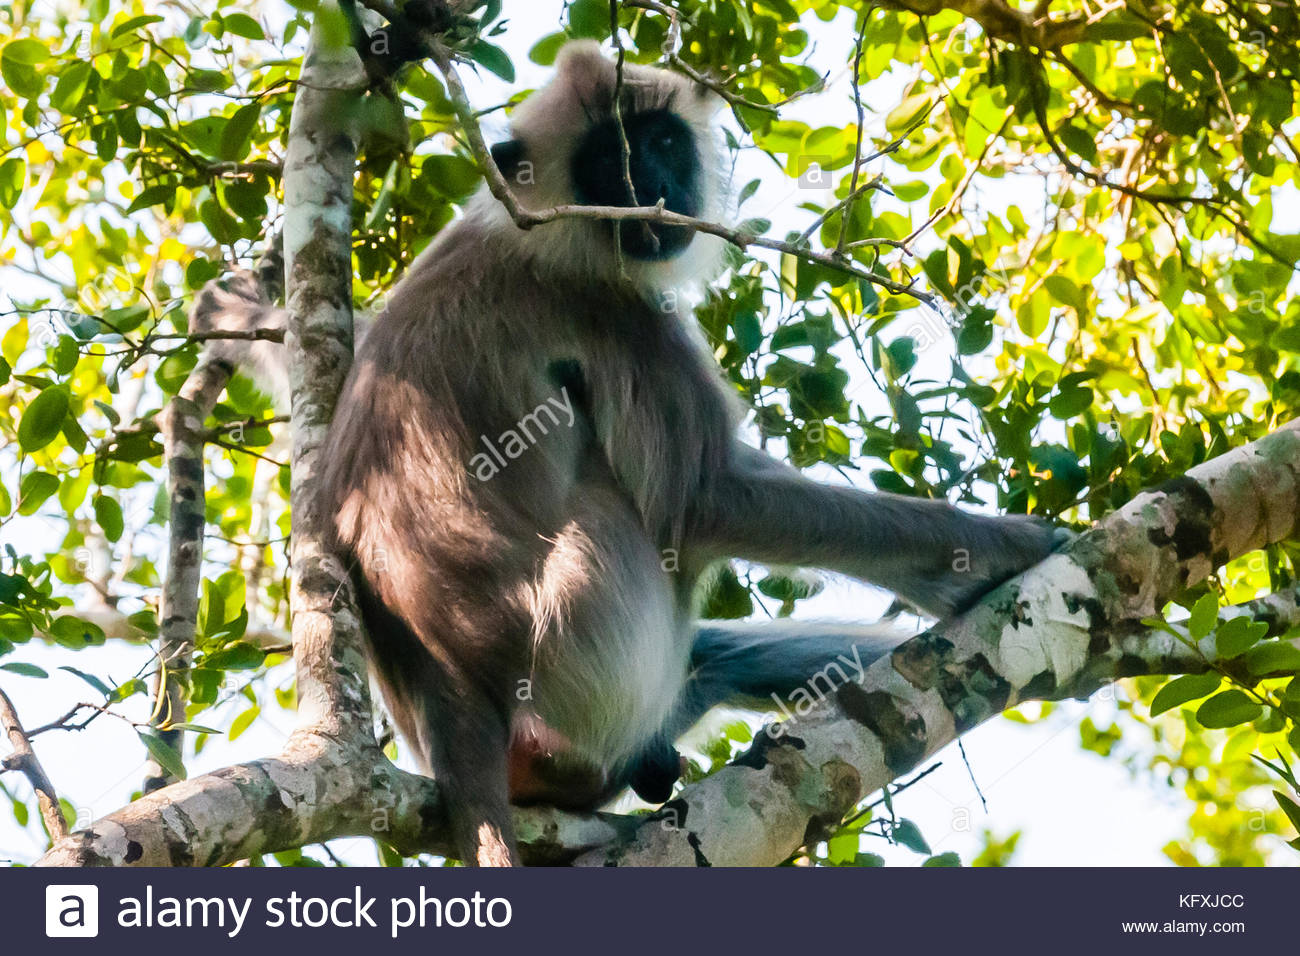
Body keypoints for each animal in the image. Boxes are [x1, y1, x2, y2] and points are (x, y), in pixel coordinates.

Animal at [192, 41, 1059, 866]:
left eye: (662, 141)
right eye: (611, 162)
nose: (657, 190)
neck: (538, 230)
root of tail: (453, 713)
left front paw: (242, 314)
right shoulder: (610, 308)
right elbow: (706, 497)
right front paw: (995, 552)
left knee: (716, 657)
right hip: (584, 657)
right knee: (620, 507)